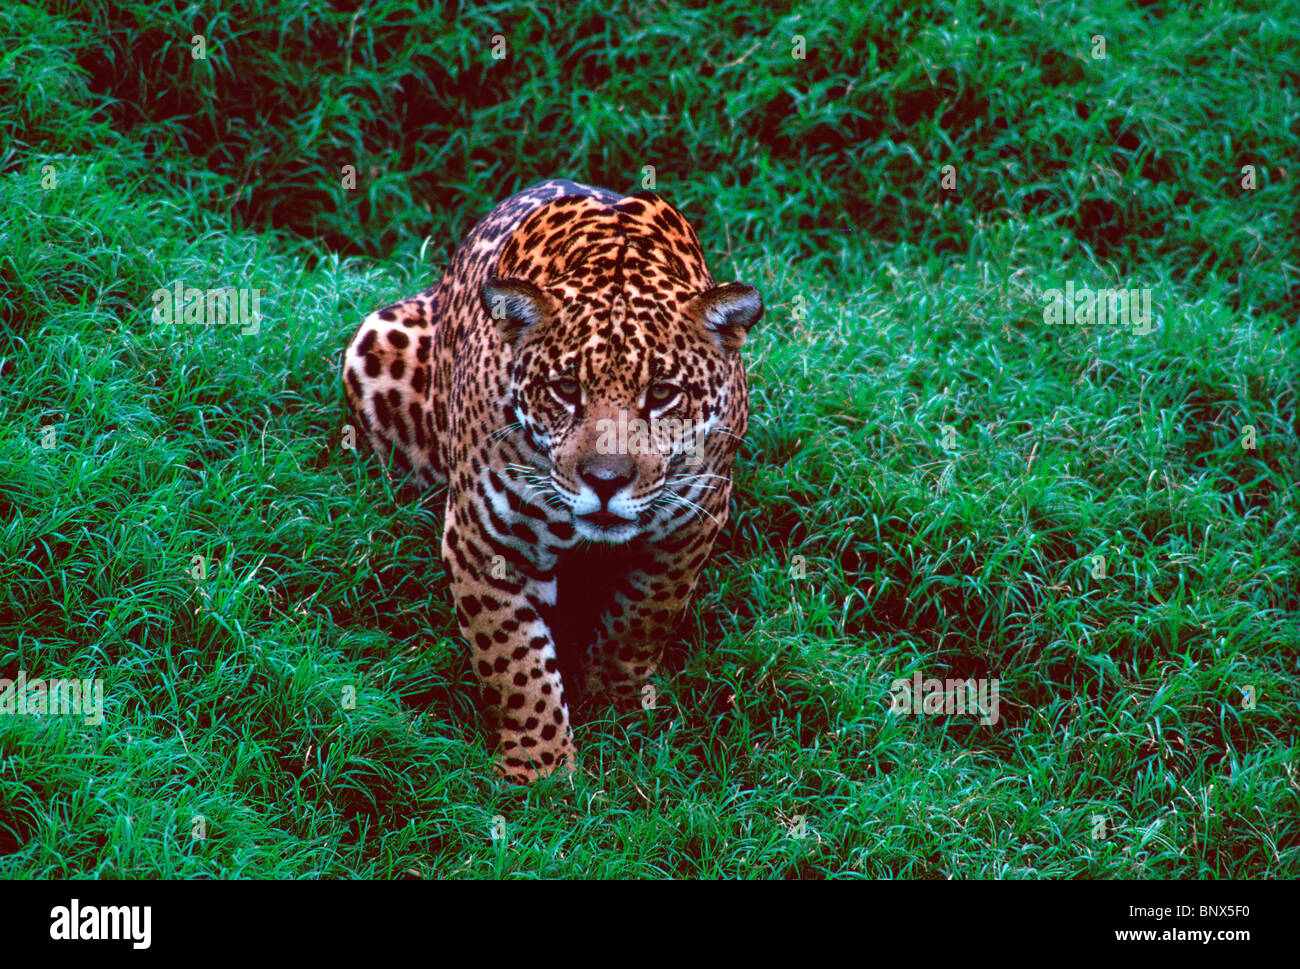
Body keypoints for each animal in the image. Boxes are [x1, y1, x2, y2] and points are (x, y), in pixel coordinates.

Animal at [341, 178, 762, 782]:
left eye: (662, 394)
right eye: (566, 389)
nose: (606, 480)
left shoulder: (692, 523)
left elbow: (643, 618)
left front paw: (614, 703)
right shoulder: (482, 539)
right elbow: (514, 660)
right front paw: (539, 771)